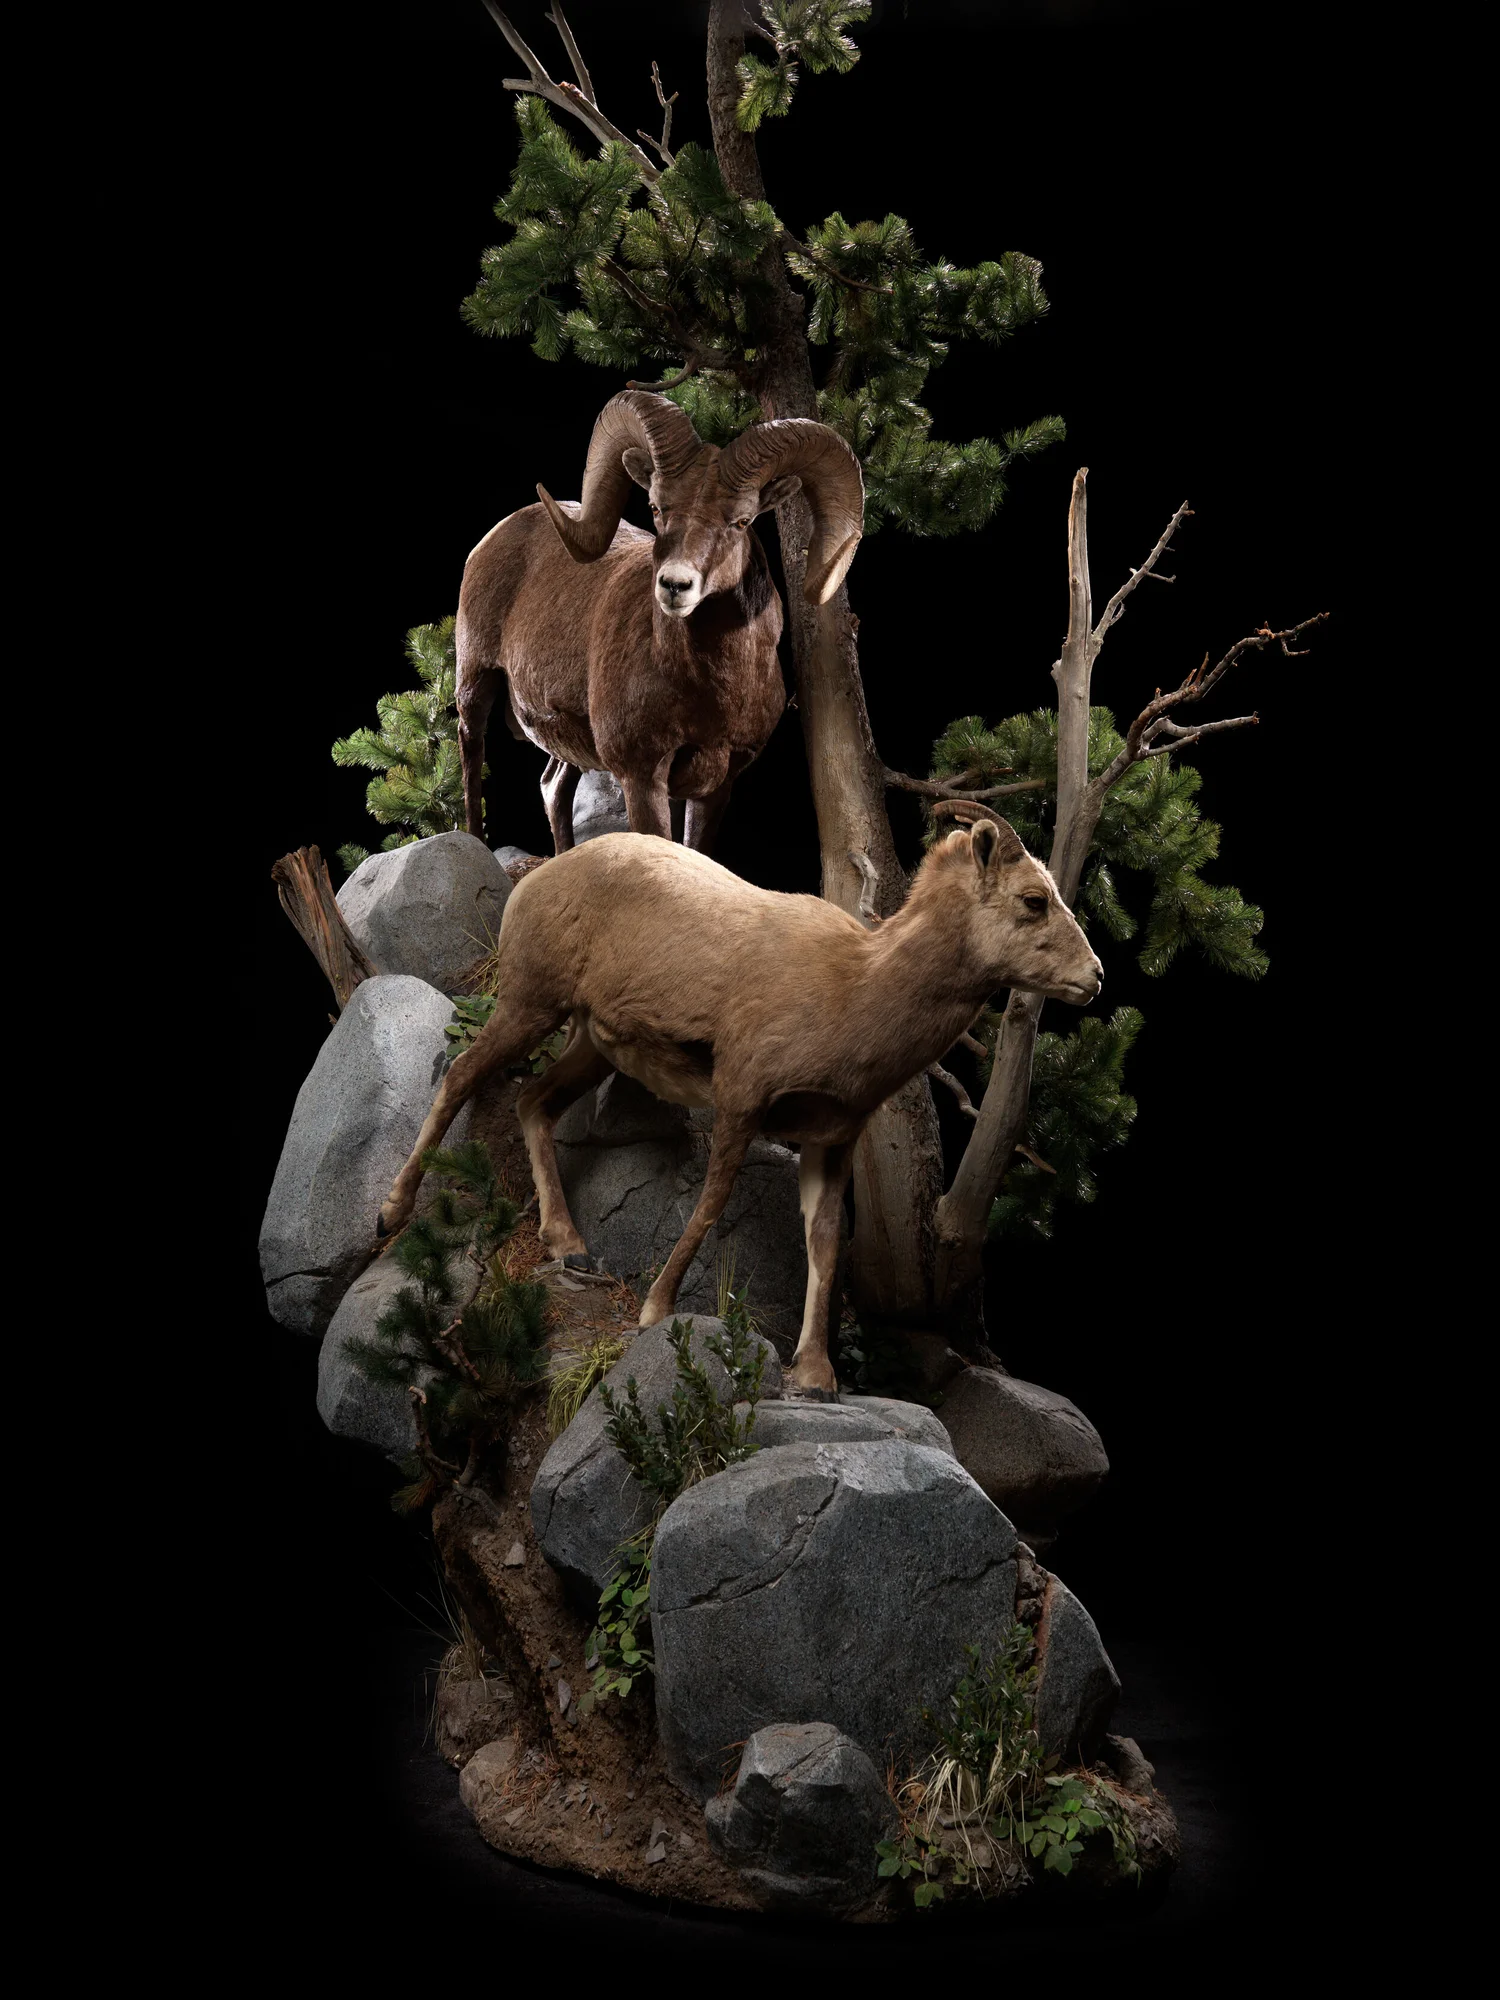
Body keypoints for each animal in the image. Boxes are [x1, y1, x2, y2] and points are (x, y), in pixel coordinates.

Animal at [377, 818, 1104, 1397]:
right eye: (1033, 899)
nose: (1095, 977)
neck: (854, 992)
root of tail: (533, 884)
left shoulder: (831, 1139)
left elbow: (824, 1242)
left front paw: (814, 1377)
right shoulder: (741, 1097)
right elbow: (710, 1203)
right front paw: (655, 1309)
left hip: (591, 1041)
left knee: (533, 1102)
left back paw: (571, 1247)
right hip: (532, 1002)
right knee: (463, 1077)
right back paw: (391, 1213)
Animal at [455, 390, 864, 853]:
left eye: (742, 521)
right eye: (655, 506)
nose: (675, 585)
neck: (709, 688)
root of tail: (494, 537)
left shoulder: (715, 787)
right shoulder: (642, 776)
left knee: (554, 787)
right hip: (475, 682)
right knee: (471, 755)